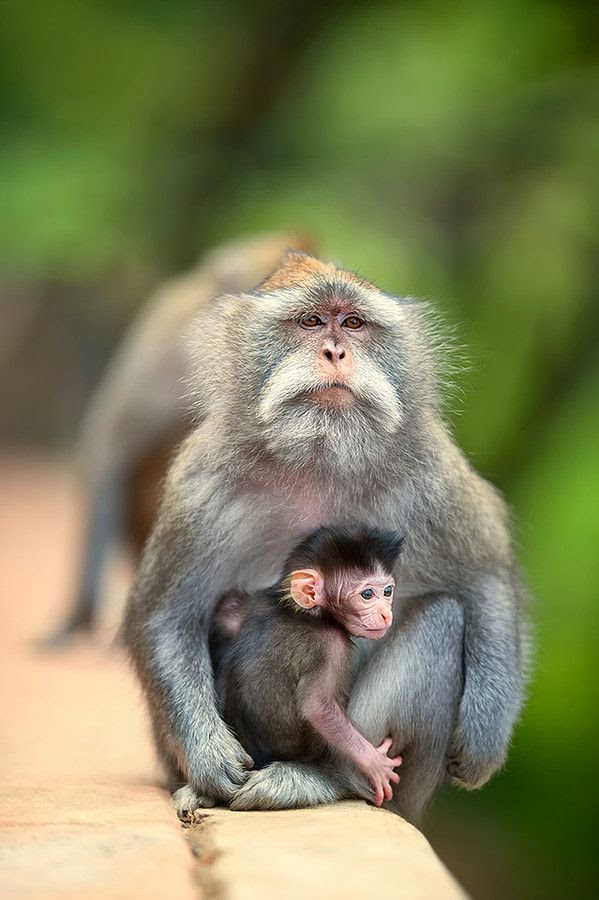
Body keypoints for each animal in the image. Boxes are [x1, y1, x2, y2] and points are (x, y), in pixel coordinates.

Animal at [191, 525, 405, 816]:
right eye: (368, 595)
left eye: (388, 591)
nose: (386, 614)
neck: (298, 611)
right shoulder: (331, 645)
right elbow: (318, 708)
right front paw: (374, 762)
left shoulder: (243, 605)